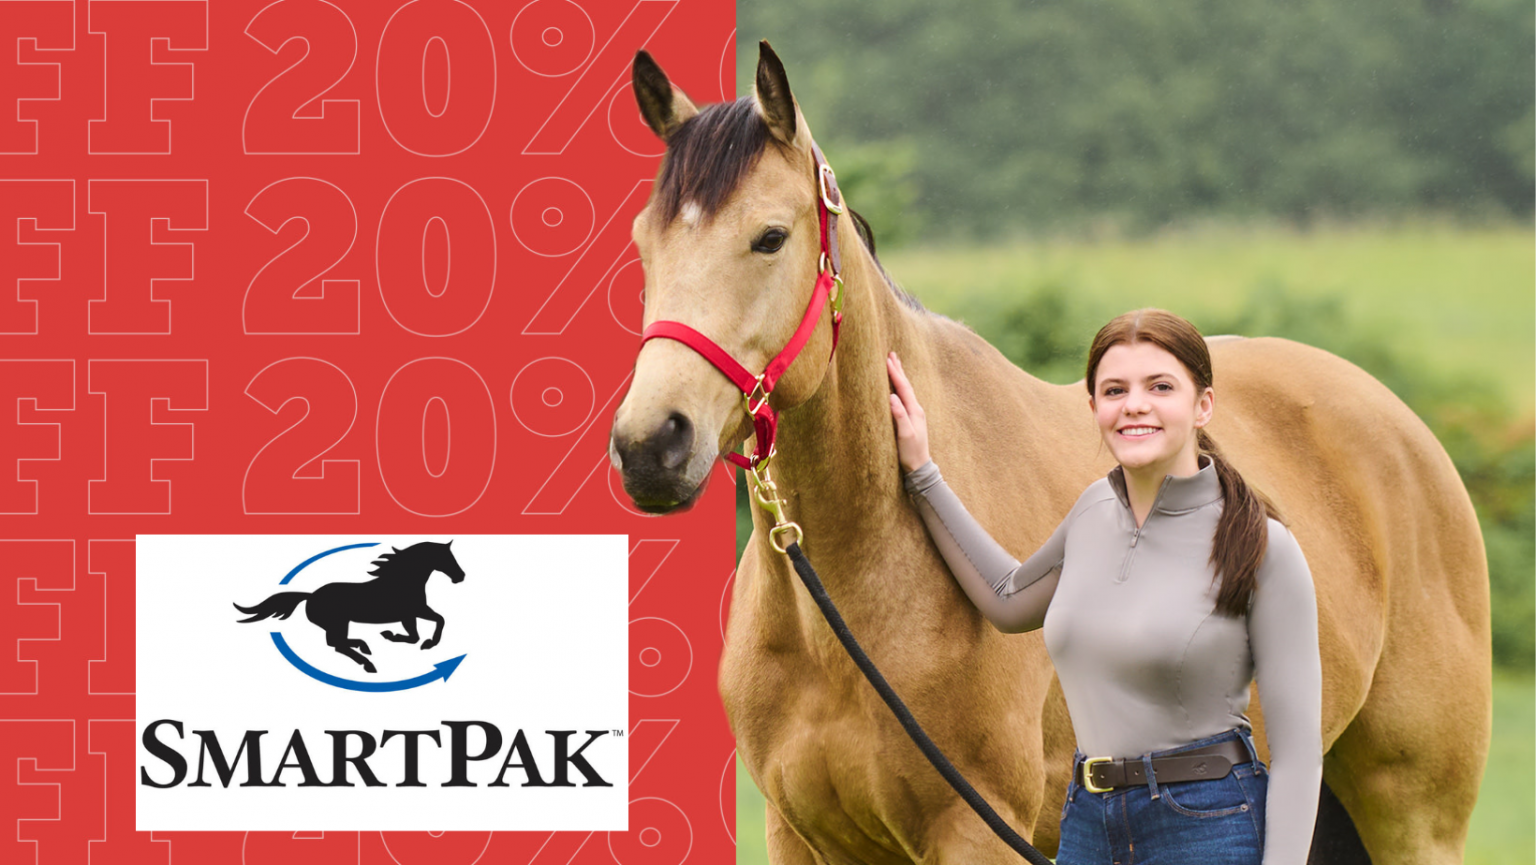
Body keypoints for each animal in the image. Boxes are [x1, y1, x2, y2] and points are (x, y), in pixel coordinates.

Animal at [234, 541, 465, 673]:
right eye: (446, 557)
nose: (460, 576)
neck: (401, 582)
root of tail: (311, 596)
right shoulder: (414, 612)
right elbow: (431, 626)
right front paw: (420, 641)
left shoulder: (411, 615)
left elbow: (421, 632)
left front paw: (403, 638)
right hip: (338, 622)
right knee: (337, 644)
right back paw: (368, 664)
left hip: (339, 624)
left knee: (338, 642)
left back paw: (364, 646)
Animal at [609, 42, 1490, 865]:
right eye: (644, 243)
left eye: (769, 237)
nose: (651, 443)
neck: (867, 585)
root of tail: (1402, 428)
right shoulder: (802, 834)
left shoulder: (977, 831)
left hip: (1415, 818)